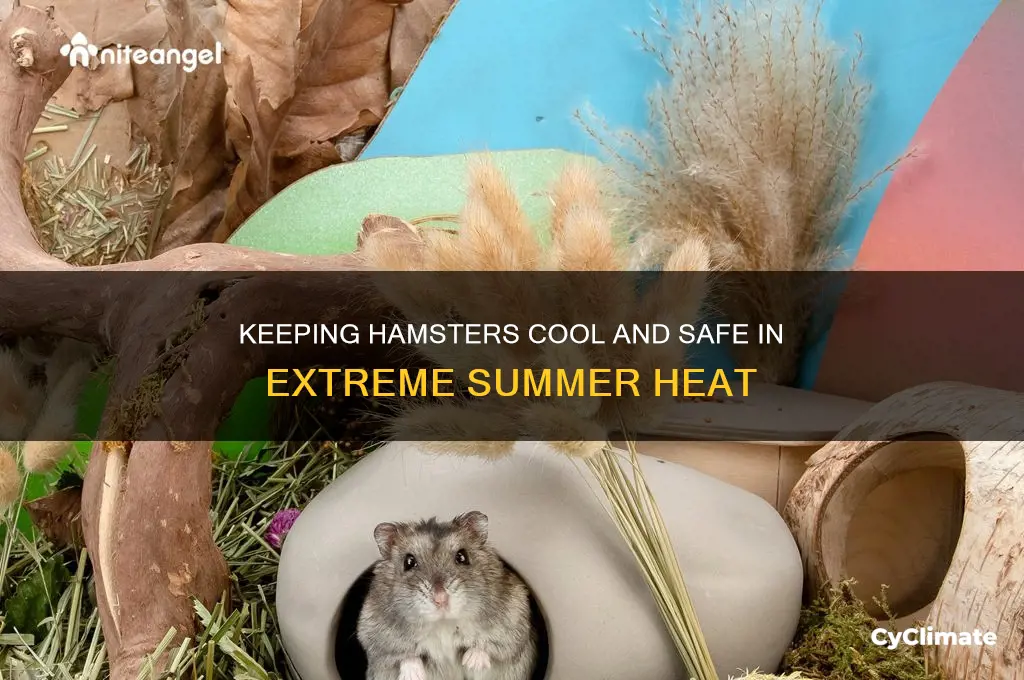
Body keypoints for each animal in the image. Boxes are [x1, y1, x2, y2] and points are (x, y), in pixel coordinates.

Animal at [356, 510, 537, 680]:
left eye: (462, 556)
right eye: (409, 562)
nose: (440, 599)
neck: (443, 624)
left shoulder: (515, 621)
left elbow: (491, 646)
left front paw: (471, 662)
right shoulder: (376, 641)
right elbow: (404, 657)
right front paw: (413, 675)